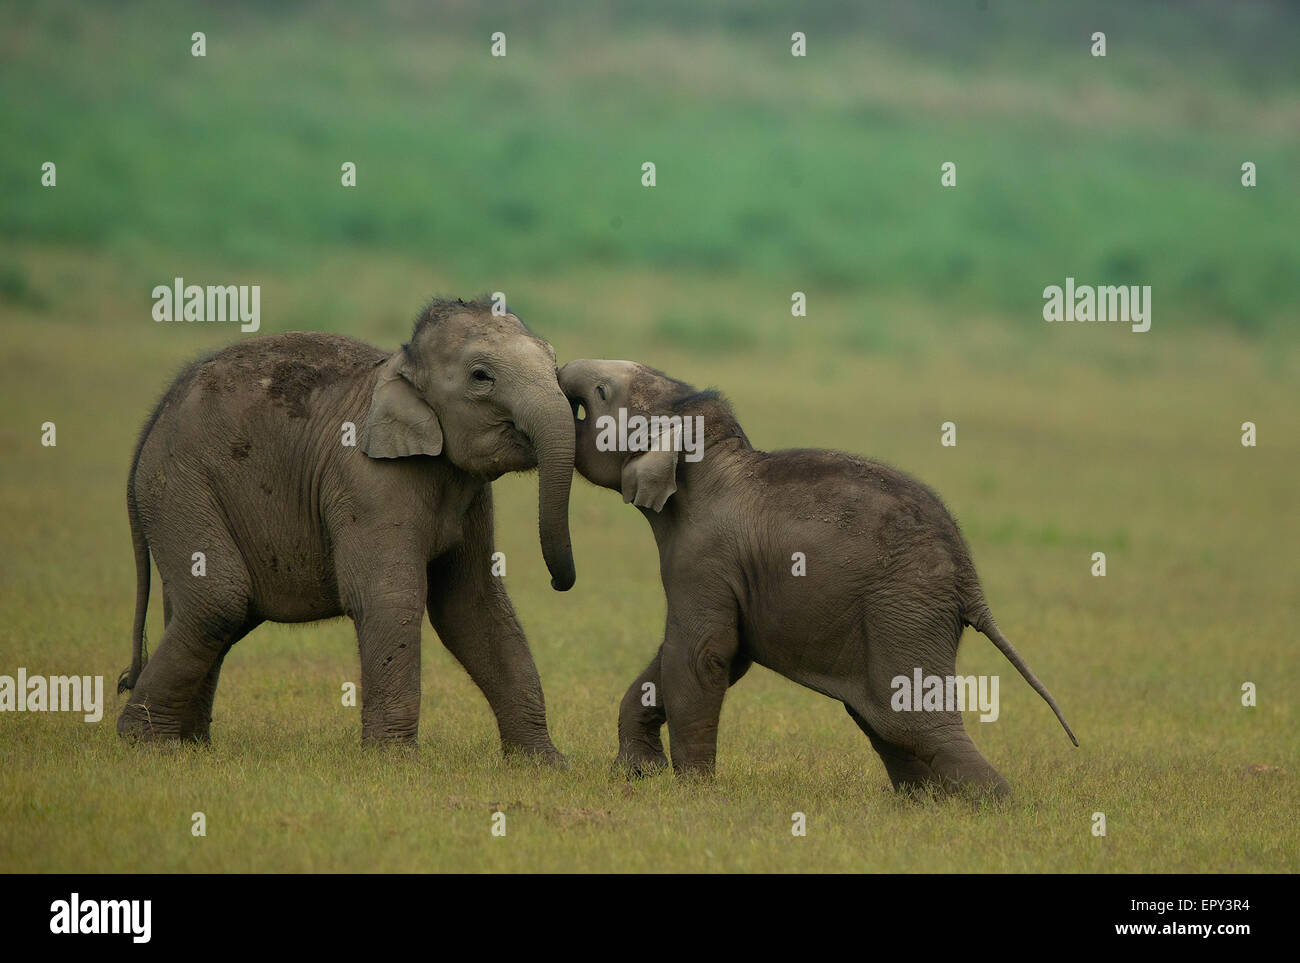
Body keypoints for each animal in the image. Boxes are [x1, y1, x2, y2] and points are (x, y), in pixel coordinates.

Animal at [116, 297, 575, 764]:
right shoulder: (367, 483)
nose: (559, 582)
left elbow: (473, 604)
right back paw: (145, 743)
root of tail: (155, 419)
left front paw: (545, 764)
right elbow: (388, 596)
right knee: (219, 600)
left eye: (554, 361)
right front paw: (395, 762)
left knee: (210, 611)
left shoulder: (472, 496)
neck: (400, 367)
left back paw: (191, 745)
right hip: (179, 484)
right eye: (481, 376)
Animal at [558, 359, 1077, 796]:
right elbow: (707, 655)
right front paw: (636, 772)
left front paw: (693, 790)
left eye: (603, 392)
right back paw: (923, 803)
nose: (560, 368)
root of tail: (970, 579)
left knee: (912, 721)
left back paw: (996, 805)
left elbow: (703, 653)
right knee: (881, 720)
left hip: (905, 608)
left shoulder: (704, 556)